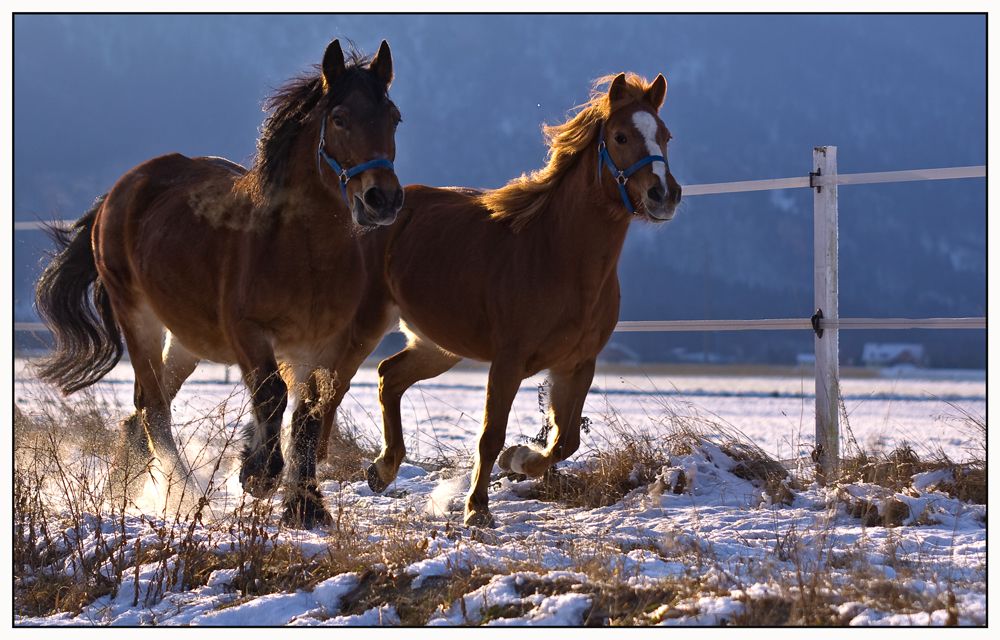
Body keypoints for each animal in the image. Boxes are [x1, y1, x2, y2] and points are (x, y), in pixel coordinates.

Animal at [33, 39, 404, 528]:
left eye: (394, 117)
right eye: (340, 117)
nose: (383, 199)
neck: (301, 250)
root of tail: (119, 191)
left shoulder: (323, 345)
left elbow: (308, 412)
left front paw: (306, 506)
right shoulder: (248, 333)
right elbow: (272, 394)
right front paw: (258, 474)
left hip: (187, 339)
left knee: (141, 413)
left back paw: (120, 491)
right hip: (138, 317)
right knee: (154, 410)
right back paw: (187, 495)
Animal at [315, 72, 681, 527]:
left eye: (665, 135)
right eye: (620, 136)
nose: (663, 194)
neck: (560, 256)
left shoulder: (577, 365)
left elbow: (566, 441)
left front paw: (519, 459)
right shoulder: (509, 361)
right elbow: (490, 435)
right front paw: (477, 510)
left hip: (438, 346)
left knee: (388, 376)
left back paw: (382, 470)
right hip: (366, 324)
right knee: (334, 384)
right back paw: (319, 462)